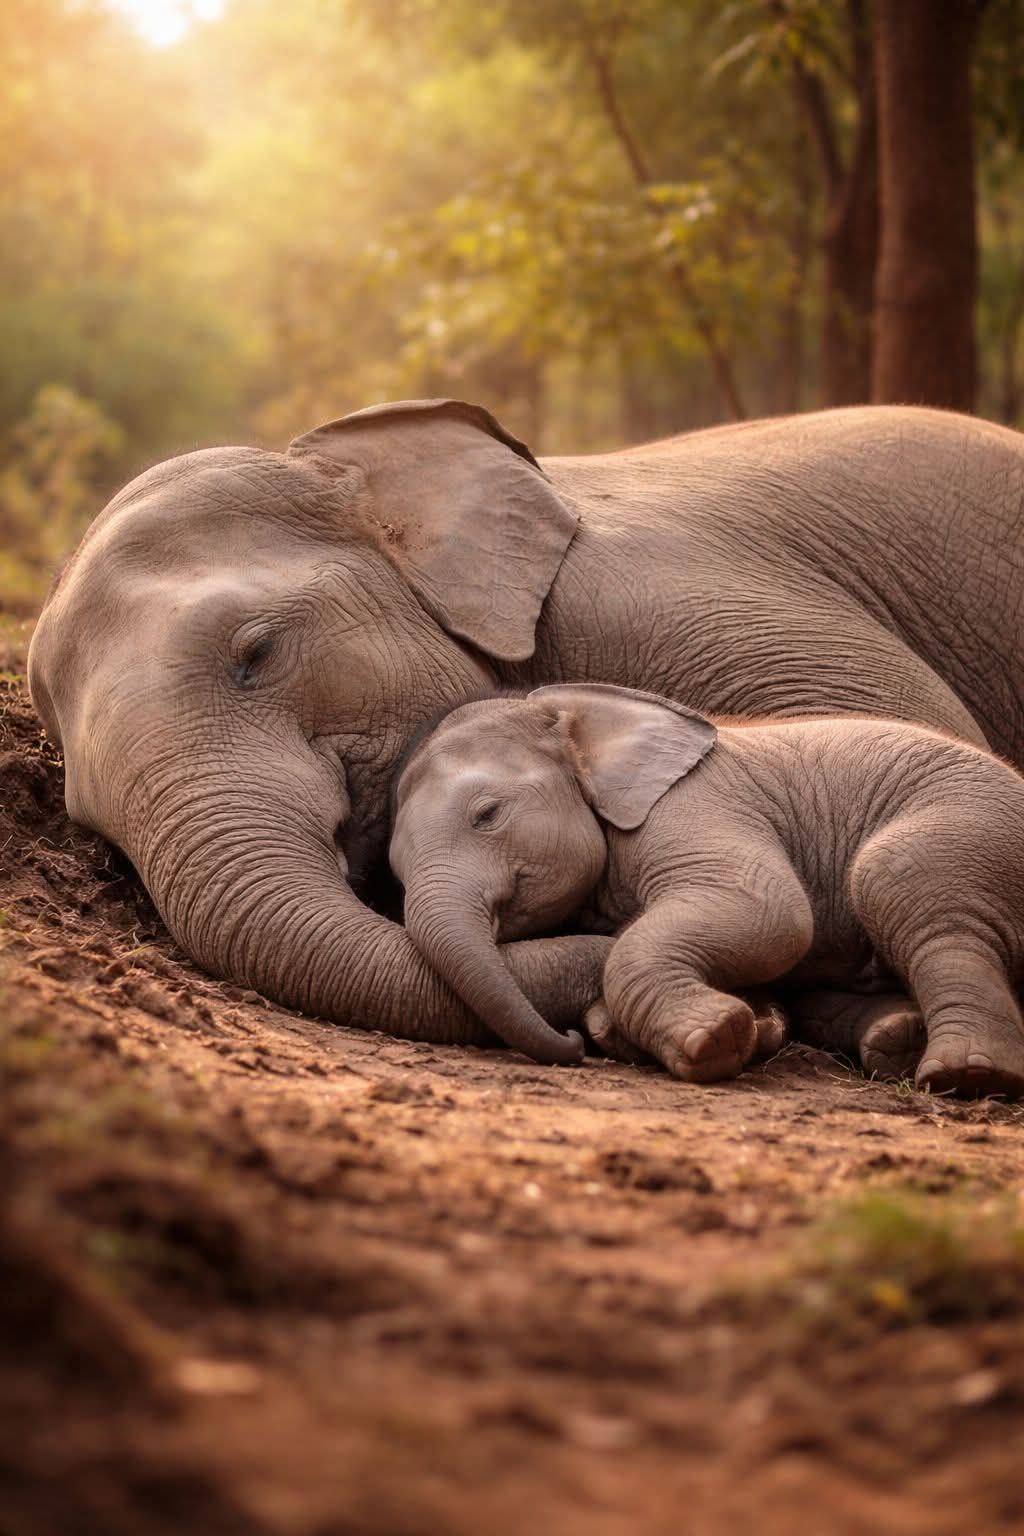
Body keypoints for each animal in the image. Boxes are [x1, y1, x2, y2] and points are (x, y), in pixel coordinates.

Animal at [389, 684, 1024, 1098]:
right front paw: (741, 1026)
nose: (569, 1041)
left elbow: (772, 913)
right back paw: (895, 1041)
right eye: (394, 869)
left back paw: (964, 1076)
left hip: (971, 831)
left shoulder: (693, 801)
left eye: (487, 814)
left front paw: (716, 1038)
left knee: (899, 886)